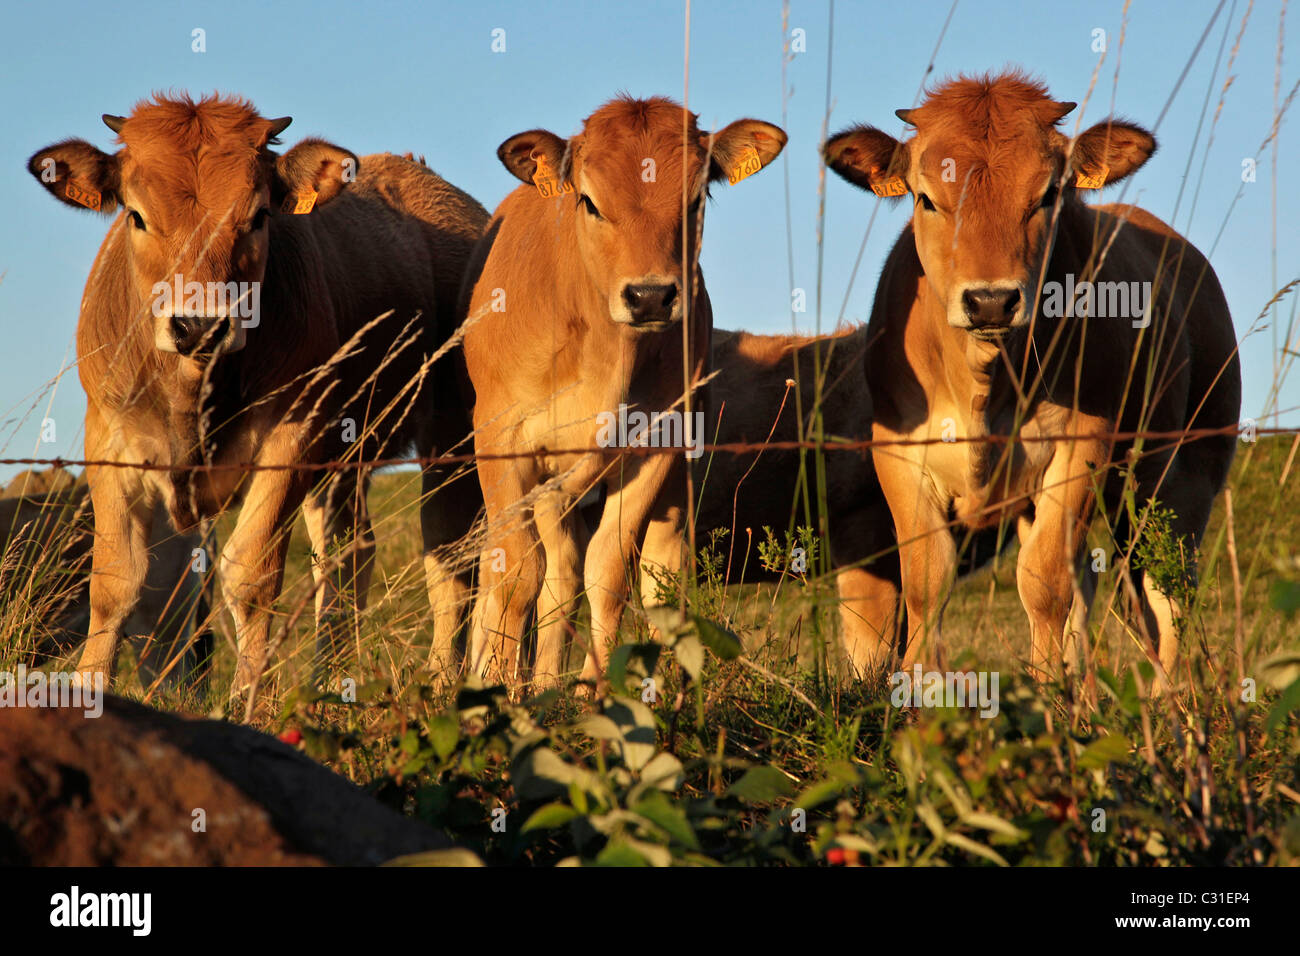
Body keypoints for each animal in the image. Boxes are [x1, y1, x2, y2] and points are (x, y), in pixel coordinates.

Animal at [28, 95, 488, 703]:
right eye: (136, 216)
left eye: (259, 216)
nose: (199, 325)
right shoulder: (110, 442)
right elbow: (118, 583)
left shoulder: (290, 437)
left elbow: (249, 576)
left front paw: (251, 704)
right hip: (347, 461)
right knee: (348, 556)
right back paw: (331, 684)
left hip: (453, 439)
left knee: (452, 557)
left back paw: (445, 680)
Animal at [461, 95, 786, 690]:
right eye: (589, 201)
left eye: (696, 200)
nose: (650, 296)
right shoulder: (502, 442)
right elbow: (516, 573)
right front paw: (497, 685)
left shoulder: (654, 449)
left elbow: (607, 571)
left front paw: (594, 688)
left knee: (631, 570)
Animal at [823, 72, 1241, 682]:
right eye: (926, 198)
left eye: (1048, 194)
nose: (990, 301)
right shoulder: (898, 454)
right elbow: (926, 583)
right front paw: (922, 695)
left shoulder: (1081, 446)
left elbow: (1044, 585)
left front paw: (1047, 694)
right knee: (1096, 587)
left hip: (1183, 475)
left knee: (1164, 592)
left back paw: (1173, 701)